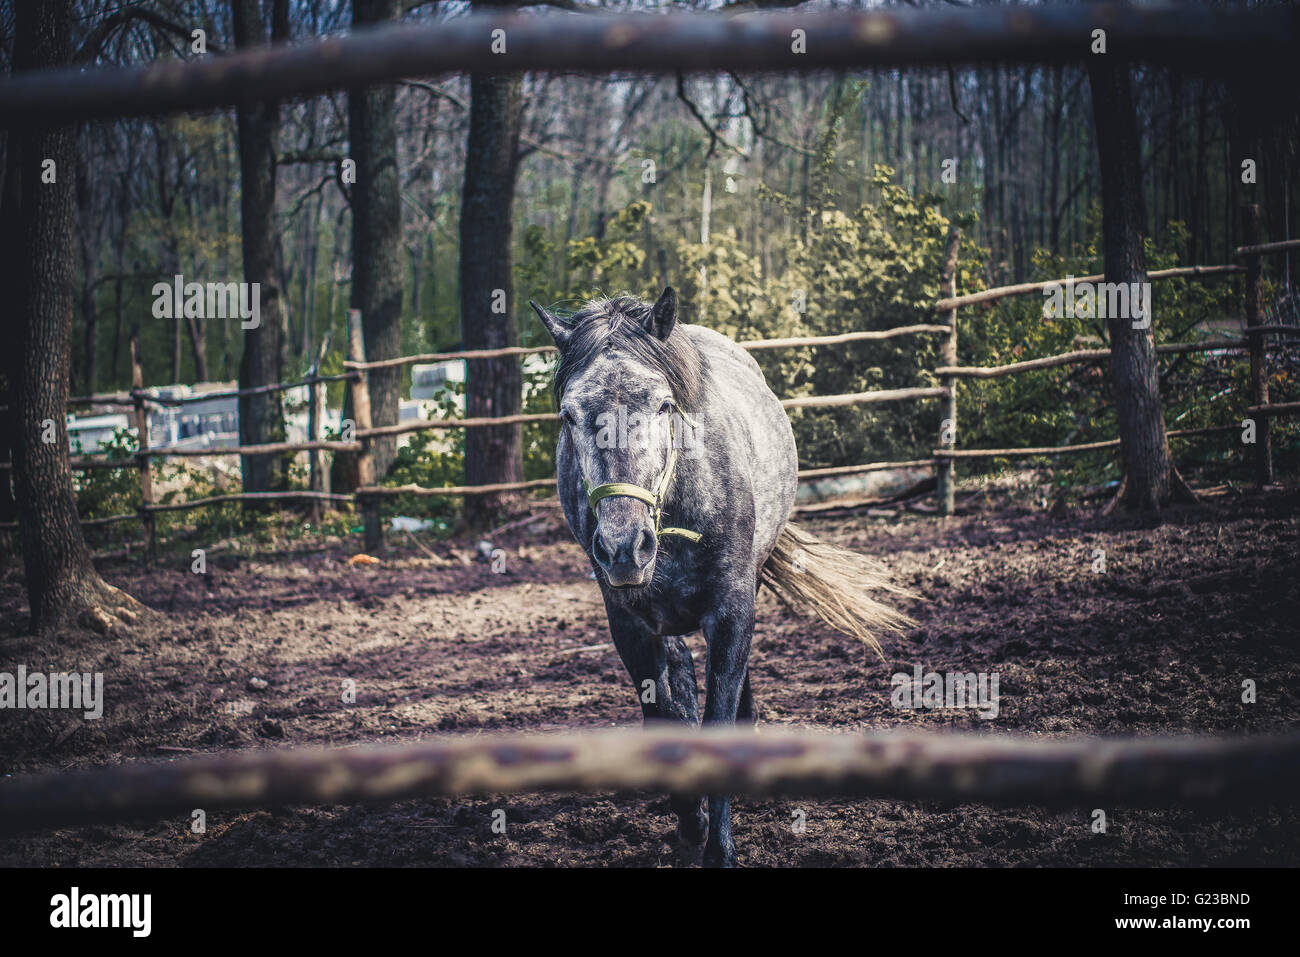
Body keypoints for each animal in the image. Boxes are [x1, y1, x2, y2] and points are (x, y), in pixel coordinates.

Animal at [529, 287, 912, 867]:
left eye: (663, 405)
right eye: (569, 416)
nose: (623, 548)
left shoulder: (731, 612)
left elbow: (719, 718)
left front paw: (720, 847)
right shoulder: (629, 624)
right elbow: (662, 713)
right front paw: (691, 822)